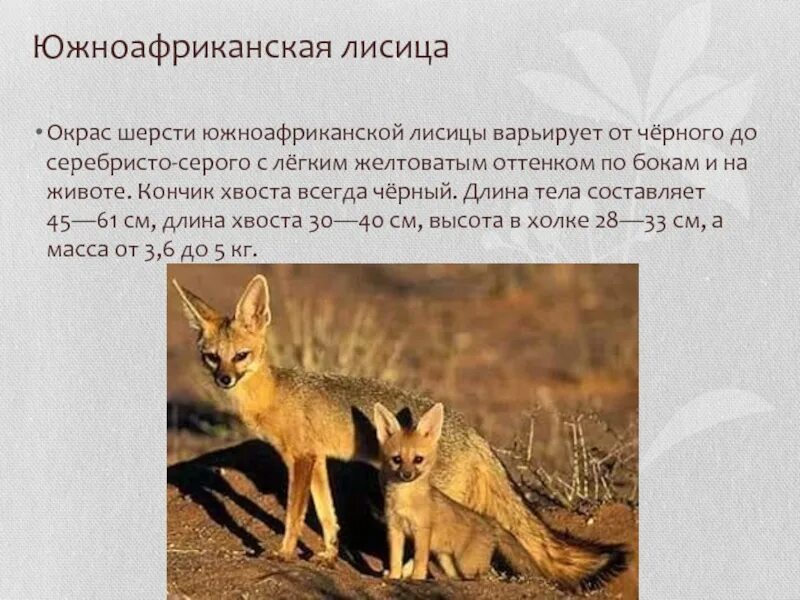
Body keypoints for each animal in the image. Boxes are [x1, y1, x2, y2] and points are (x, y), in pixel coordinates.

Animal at [374, 401, 537, 581]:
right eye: (397, 459)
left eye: (418, 459)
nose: (407, 474)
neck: (404, 501)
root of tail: (490, 522)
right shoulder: (395, 529)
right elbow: (395, 560)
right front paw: (394, 576)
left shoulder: (422, 531)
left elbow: (419, 560)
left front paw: (416, 578)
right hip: (447, 561)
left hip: (467, 565)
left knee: (488, 576)